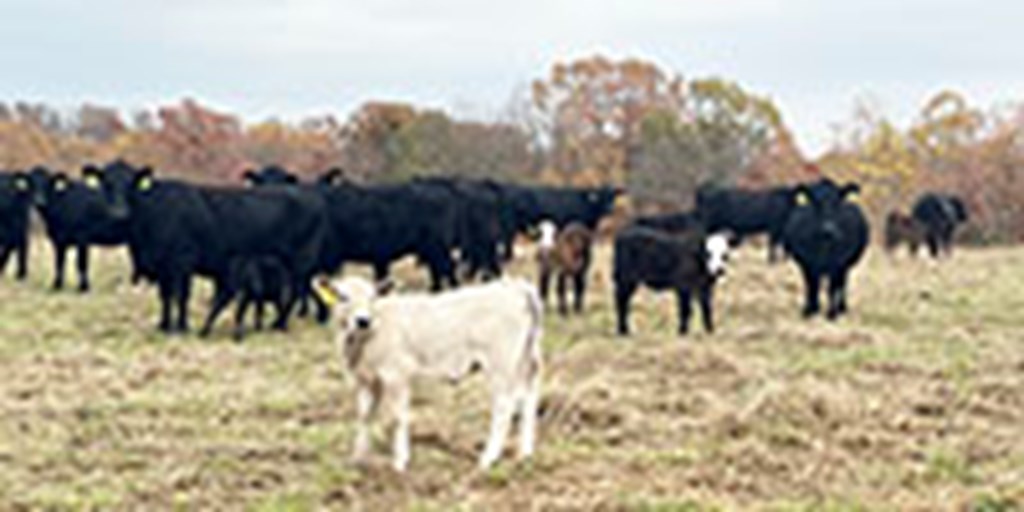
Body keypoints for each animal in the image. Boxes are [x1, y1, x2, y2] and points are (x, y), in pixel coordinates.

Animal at [91, 161, 328, 335]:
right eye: (106, 184)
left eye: (132, 184)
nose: (119, 213)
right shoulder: (163, 267)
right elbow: (165, 296)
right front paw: (164, 325)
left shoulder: (182, 261)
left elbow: (181, 295)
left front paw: (181, 327)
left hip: (299, 261)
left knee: (296, 291)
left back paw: (279, 324)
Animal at [313, 276, 543, 471]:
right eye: (343, 296)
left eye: (373, 297)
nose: (363, 320)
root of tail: (515, 286)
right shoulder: (366, 380)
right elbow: (364, 416)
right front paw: (358, 459)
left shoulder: (396, 375)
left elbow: (397, 417)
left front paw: (400, 461)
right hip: (526, 359)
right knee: (528, 398)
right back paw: (525, 453)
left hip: (501, 363)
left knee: (504, 406)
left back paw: (488, 458)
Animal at [782, 179, 869, 320]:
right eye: (816, 203)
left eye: (837, 203)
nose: (829, 229)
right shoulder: (807, 264)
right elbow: (812, 286)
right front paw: (810, 310)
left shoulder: (837, 264)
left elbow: (832, 288)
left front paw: (831, 313)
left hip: (845, 266)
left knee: (842, 284)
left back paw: (842, 308)